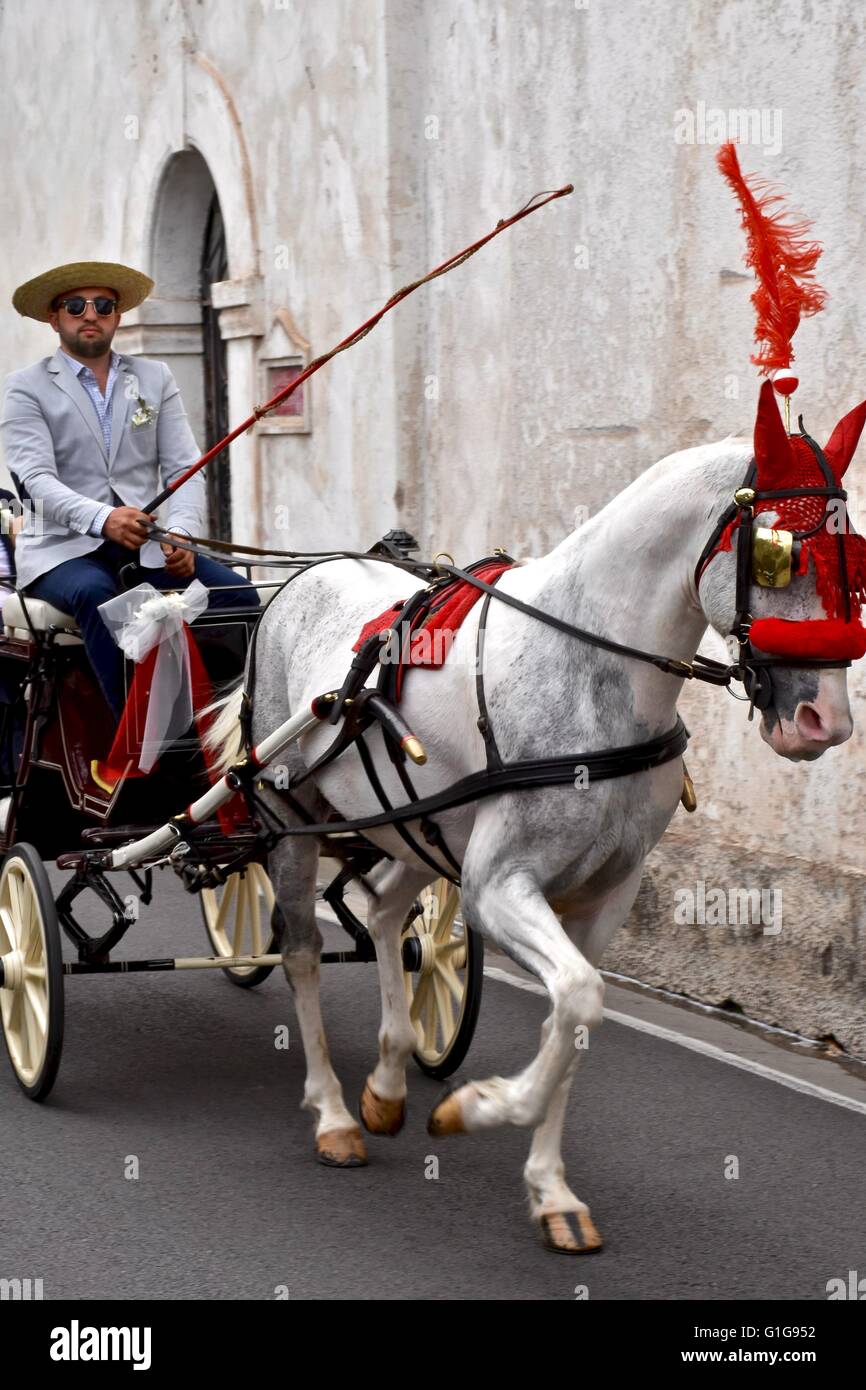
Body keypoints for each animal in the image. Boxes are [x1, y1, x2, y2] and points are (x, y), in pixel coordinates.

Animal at [206, 383, 863, 1253]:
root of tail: (301, 581)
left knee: (381, 913)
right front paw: (478, 1106)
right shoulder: (497, 887)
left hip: (418, 826)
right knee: (305, 953)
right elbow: (577, 997)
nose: (826, 721)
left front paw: (550, 1190)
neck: (590, 669)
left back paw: (387, 1080)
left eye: (857, 561)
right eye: (779, 555)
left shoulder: (605, 895)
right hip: (288, 818)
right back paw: (335, 1113)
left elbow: (577, 1017)